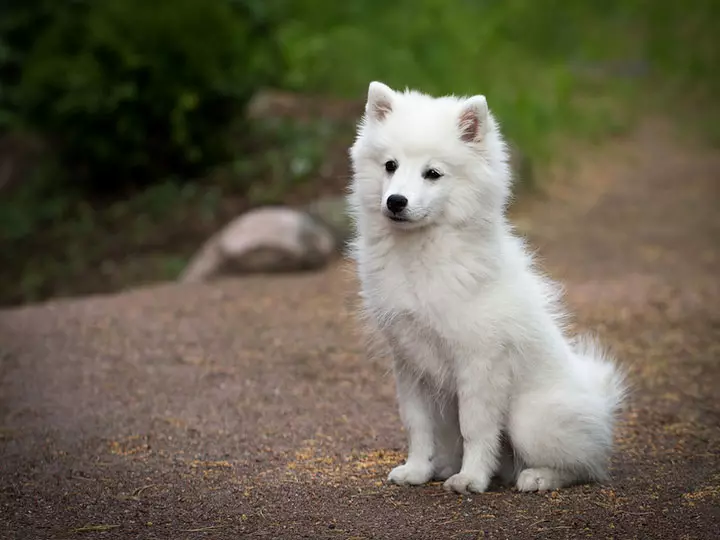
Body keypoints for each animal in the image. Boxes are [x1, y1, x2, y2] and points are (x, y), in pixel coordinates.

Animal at [348, 81, 624, 494]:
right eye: (390, 166)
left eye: (433, 173)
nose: (396, 201)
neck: (422, 252)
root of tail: (599, 400)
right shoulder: (410, 362)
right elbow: (417, 425)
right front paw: (416, 470)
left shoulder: (479, 363)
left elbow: (476, 428)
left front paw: (472, 479)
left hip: (528, 420)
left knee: (585, 465)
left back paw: (537, 477)